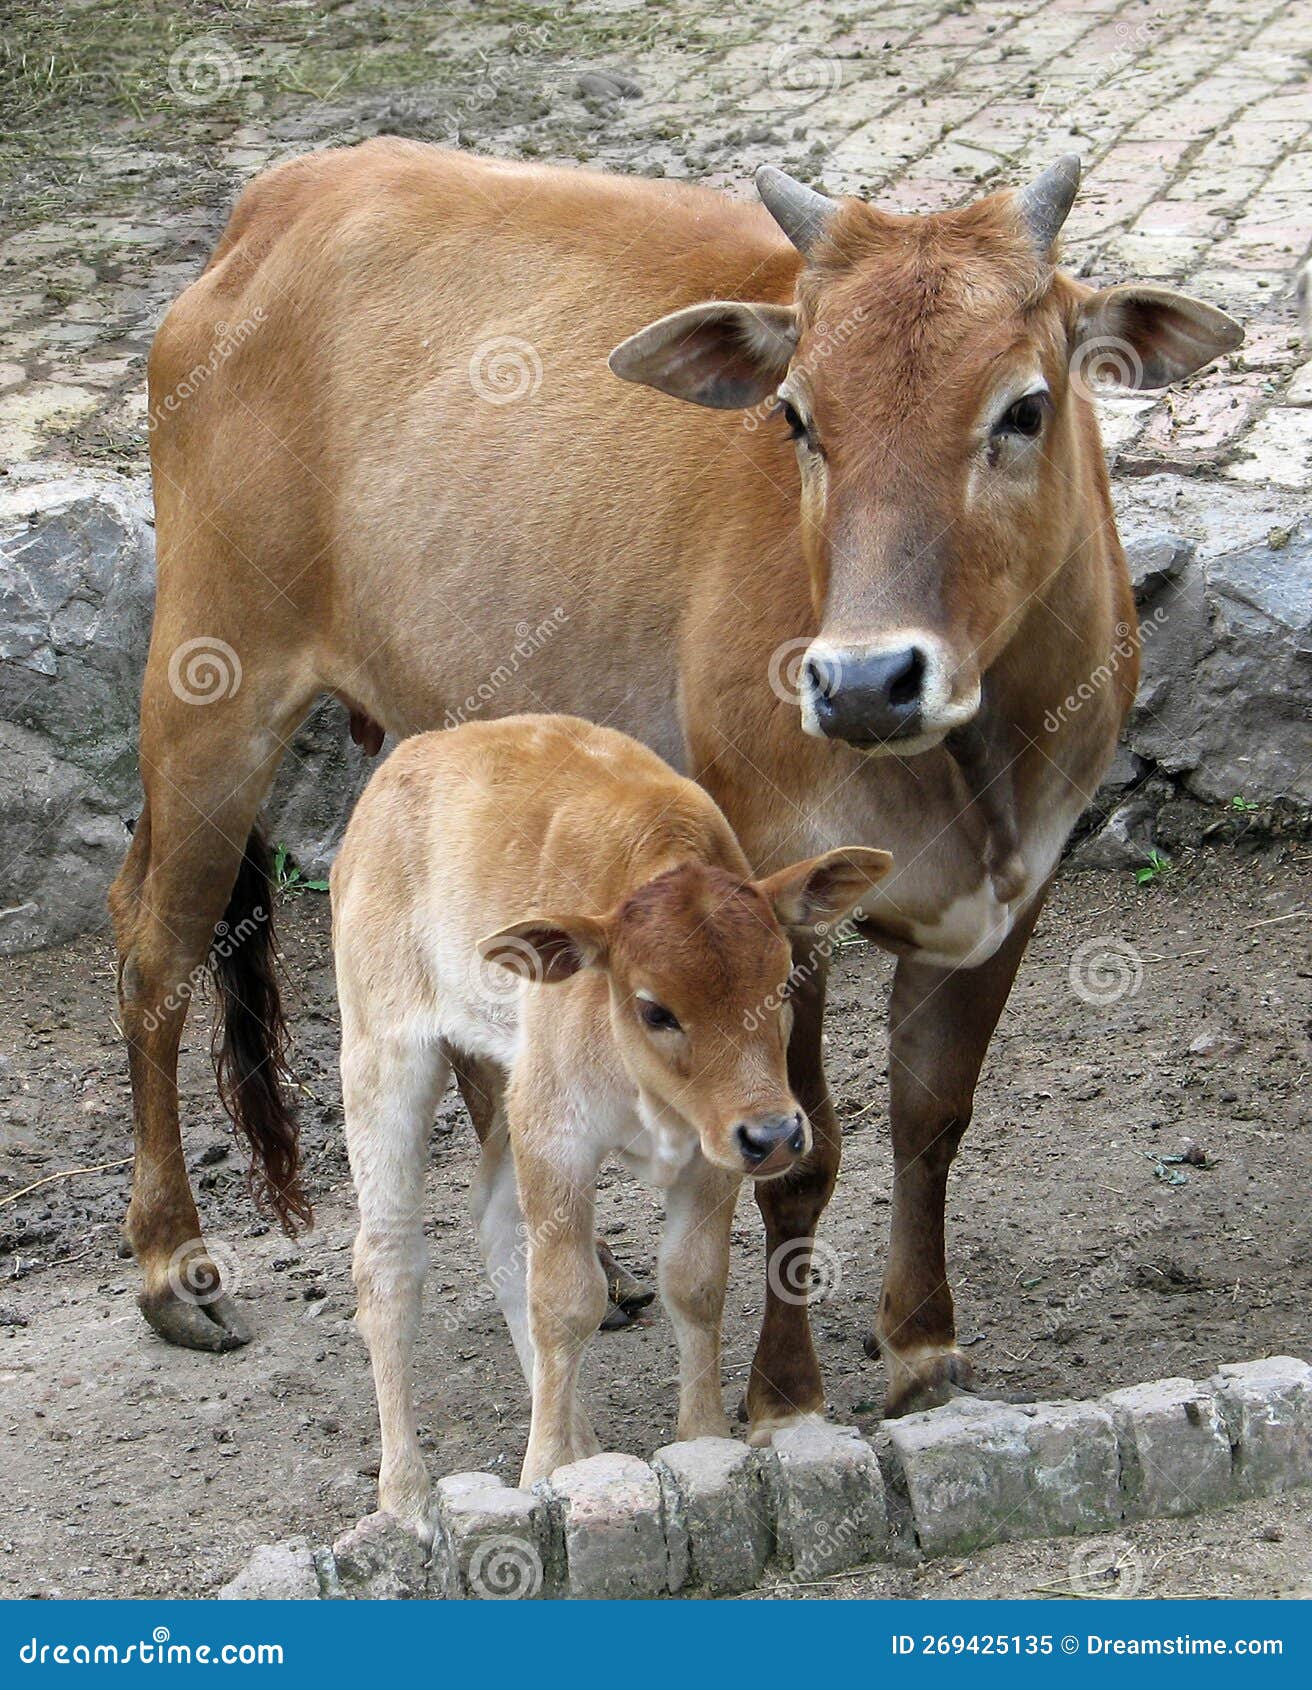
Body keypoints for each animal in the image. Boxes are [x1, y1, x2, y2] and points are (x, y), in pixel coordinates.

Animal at [331, 712, 890, 1514]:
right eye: (657, 1009)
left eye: (784, 979)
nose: (777, 1134)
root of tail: (398, 769)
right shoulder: (557, 1135)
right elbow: (568, 1299)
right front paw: (538, 1472)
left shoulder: (712, 1153)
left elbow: (695, 1283)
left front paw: (701, 1442)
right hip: (385, 1057)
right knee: (388, 1263)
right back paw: (407, 1495)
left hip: (509, 1079)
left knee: (495, 1219)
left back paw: (581, 1442)